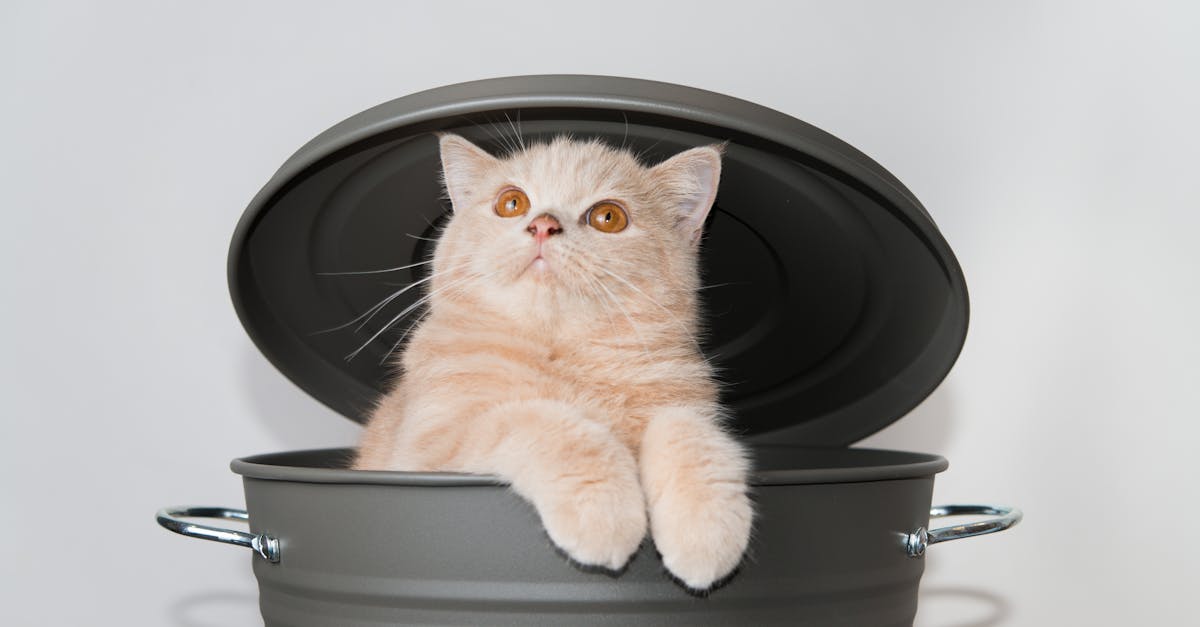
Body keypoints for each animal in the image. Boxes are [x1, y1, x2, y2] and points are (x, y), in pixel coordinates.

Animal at [350, 131, 753, 590]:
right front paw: (603, 510)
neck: (565, 353)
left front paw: (707, 527)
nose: (543, 225)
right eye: (511, 203)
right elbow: (538, 419)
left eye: (608, 217)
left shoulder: (686, 406)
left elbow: (690, 432)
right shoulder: (430, 447)